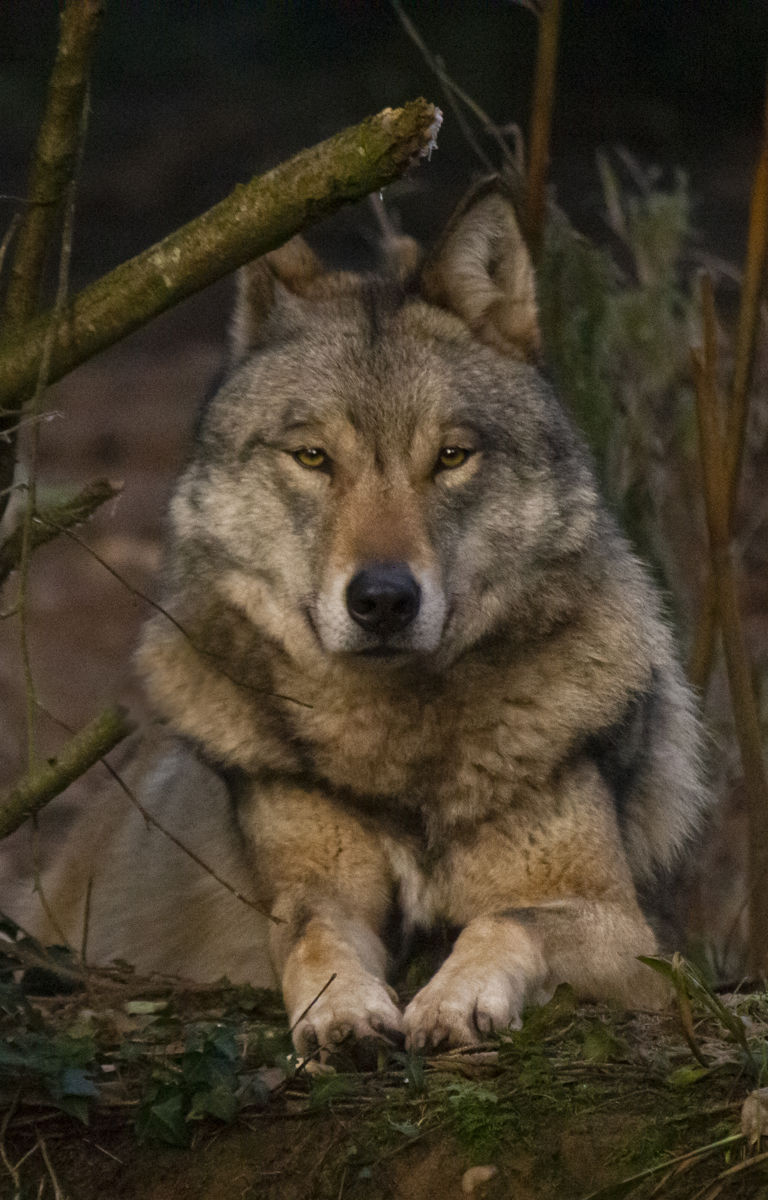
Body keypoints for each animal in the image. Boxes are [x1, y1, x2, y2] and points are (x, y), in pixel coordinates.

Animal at [3, 179, 707, 1054]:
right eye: (313, 458)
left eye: (450, 457)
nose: (382, 600)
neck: (397, 747)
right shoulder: (314, 891)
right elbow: (315, 937)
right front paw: (343, 1010)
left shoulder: (631, 935)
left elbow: (506, 920)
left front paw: (454, 996)